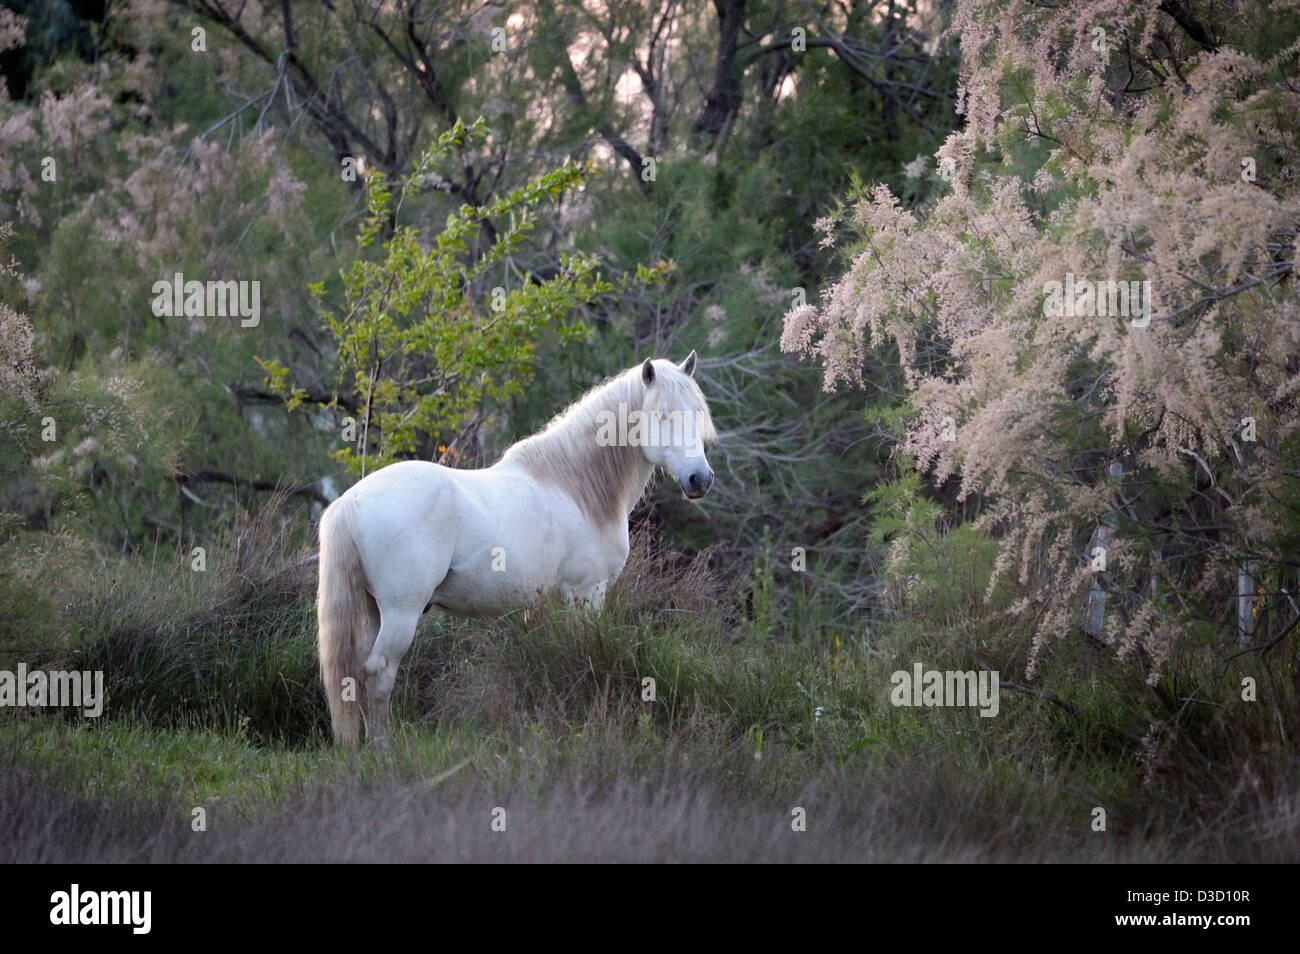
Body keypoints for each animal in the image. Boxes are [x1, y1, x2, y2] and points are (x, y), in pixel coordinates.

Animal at [316, 352, 717, 747]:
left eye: (696, 413)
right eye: (662, 415)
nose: (700, 479)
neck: (575, 487)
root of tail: (351, 501)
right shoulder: (587, 594)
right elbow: (585, 655)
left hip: (373, 612)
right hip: (401, 613)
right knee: (380, 672)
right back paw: (383, 750)